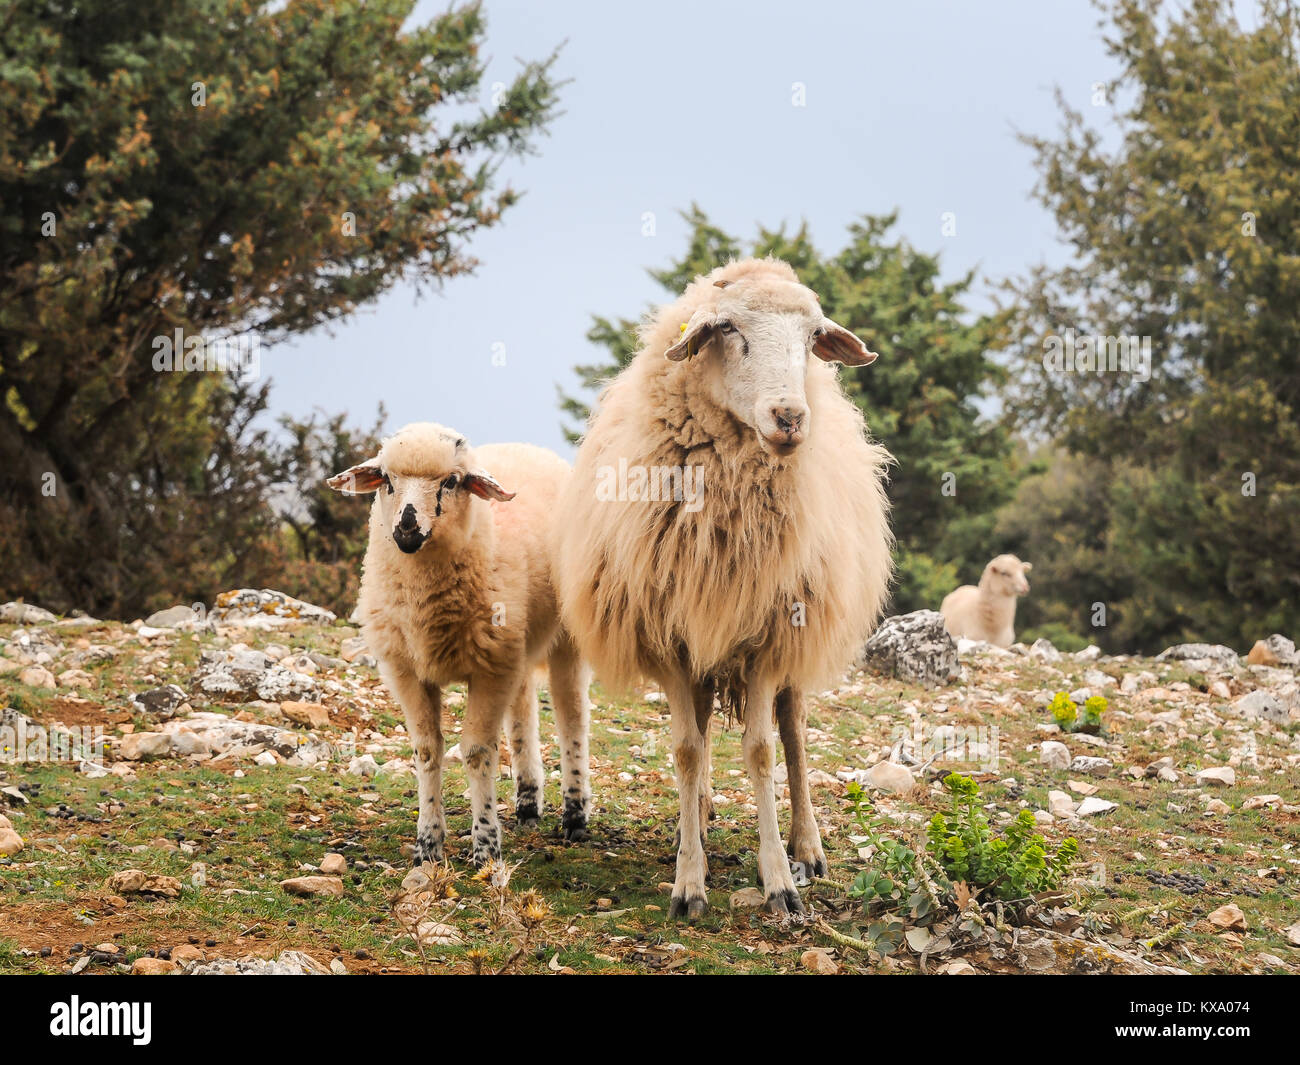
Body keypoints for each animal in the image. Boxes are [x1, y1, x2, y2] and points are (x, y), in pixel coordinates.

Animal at [328, 423, 591, 866]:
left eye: (451, 481)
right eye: (387, 480)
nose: (406, 528)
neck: (425, 605)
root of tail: (530, 447)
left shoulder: (489, 670)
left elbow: (477, 752)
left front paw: (485, 845)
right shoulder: (407, 670)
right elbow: (427, 750)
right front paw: (428, 845)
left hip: (564, 637)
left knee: (571, 717)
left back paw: (575, 815)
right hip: (515, 644)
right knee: (523, 713)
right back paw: (527, 802)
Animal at [554, 258, 893, 917]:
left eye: (814, 337)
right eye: (729, 328)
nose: (790, 419)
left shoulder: (768, 638)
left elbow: (763, 750)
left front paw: (780, 879)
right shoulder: (671, 637)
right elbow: (687, 750)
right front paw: (689, 879)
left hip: (796, 634)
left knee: (794, 733)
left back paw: (807, 845)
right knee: (705, 727)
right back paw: (703, 820)